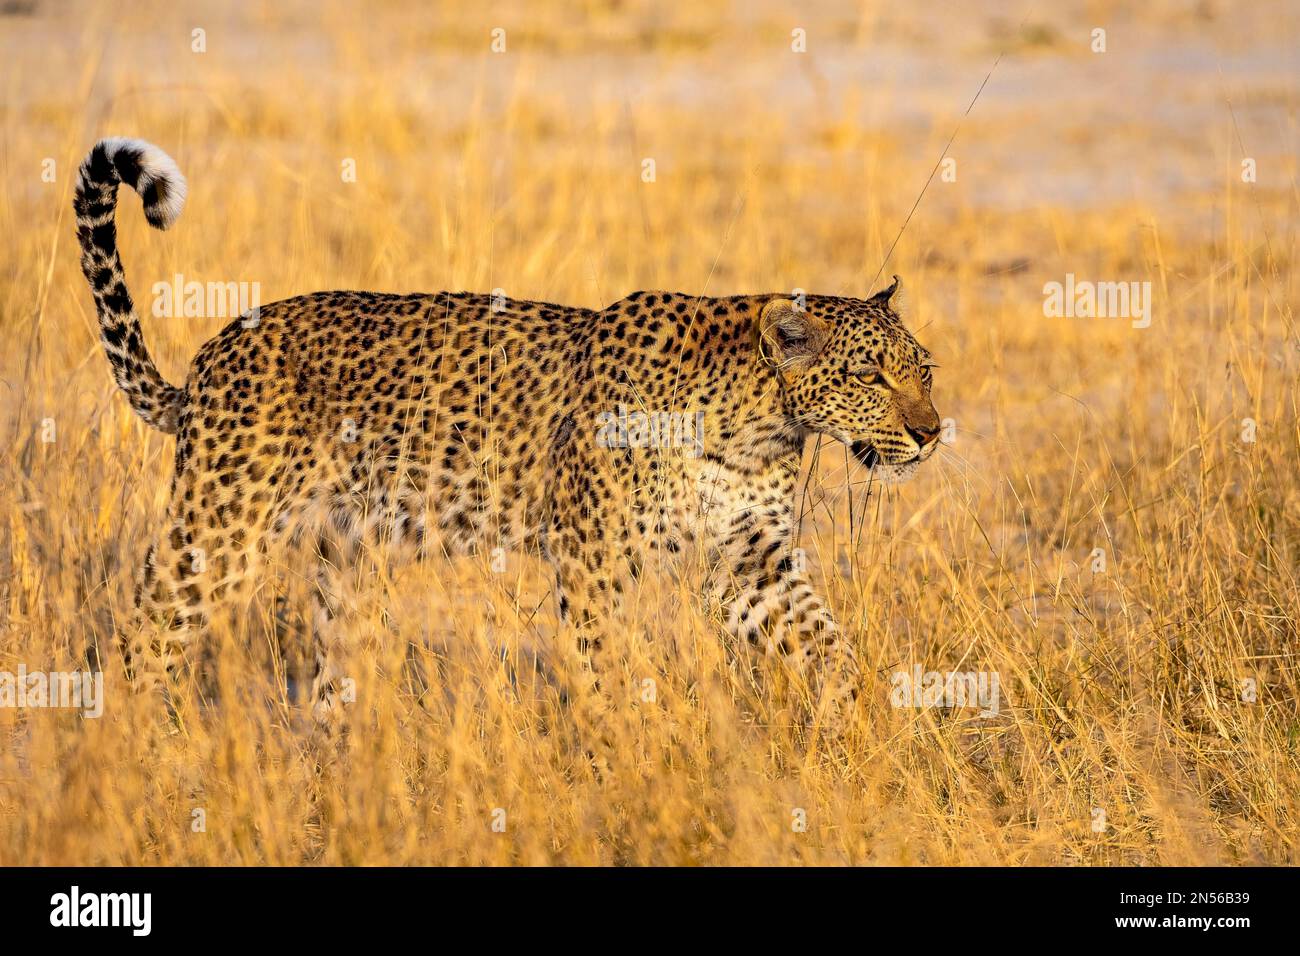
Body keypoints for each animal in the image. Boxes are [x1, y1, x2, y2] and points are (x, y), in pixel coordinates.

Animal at [73, 137, 943, 738]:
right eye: (871, 377)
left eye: (924, 371)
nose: (931, 434)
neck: (758, 422)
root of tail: (209, 356)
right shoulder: (594, 560)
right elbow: (604, 669)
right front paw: (627, 756)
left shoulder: (748, 560)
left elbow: (829, 643)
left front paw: (852, 722)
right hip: (221, 527)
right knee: (142, 637)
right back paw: (134, 758)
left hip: (342, 556)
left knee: (325, 673)